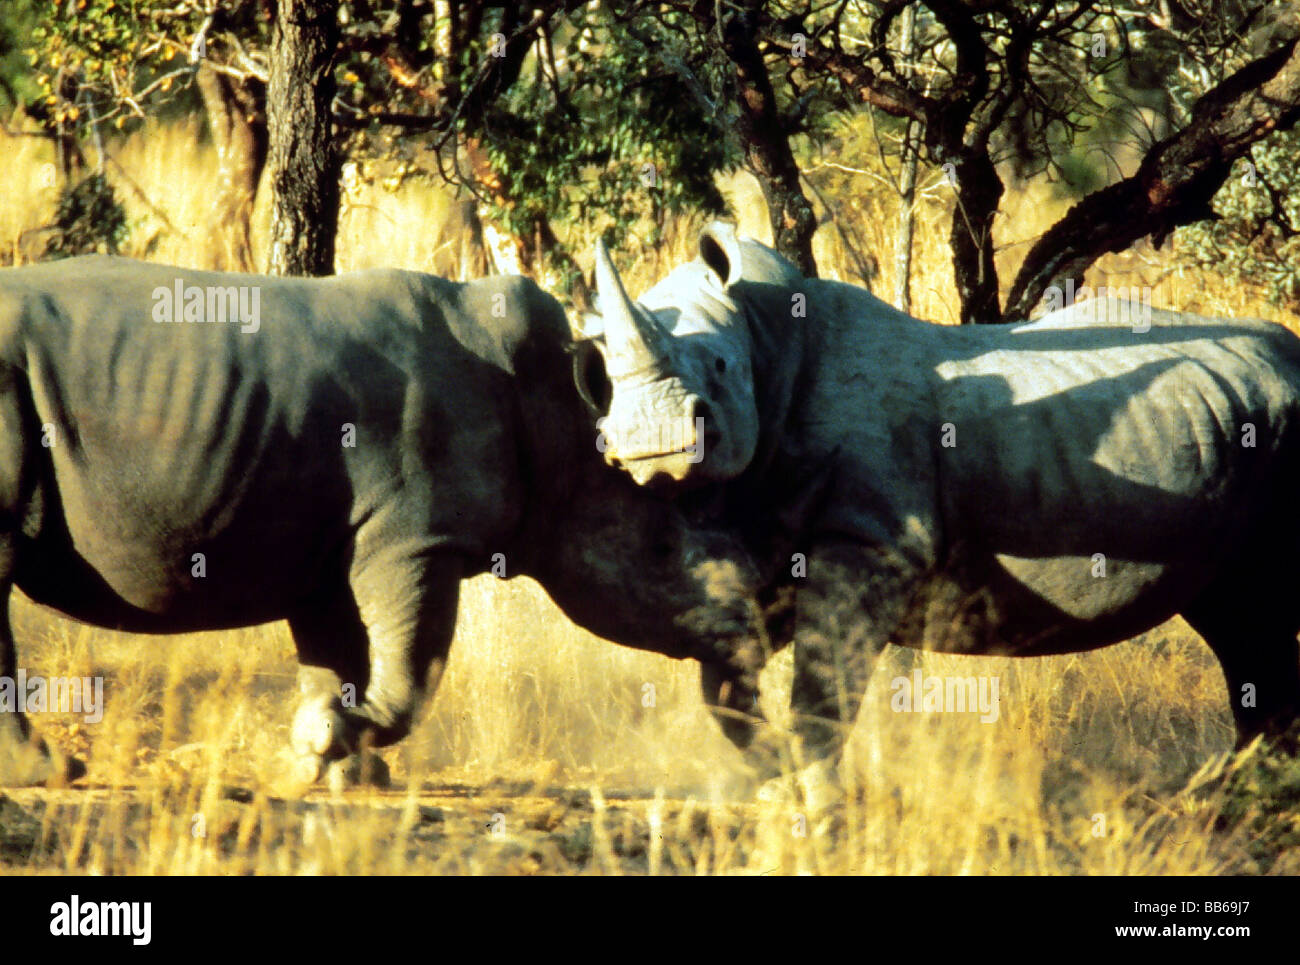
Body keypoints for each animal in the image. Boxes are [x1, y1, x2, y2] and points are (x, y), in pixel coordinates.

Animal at [0, 255, 766, 788]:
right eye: (663, 547)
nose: (756, 633)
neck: (560, 419)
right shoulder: (415, 538)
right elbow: (414, 663)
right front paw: (328, 744)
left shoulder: (330, 540)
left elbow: (335, 653)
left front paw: (335, 761)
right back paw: (50, 774)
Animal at [584, 223, 1300, 789]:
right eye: (603, 383)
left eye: (720, 366)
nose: (654, 443)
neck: (766, 342)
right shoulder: (753, 533)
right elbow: (727, 685)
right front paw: (776, 780)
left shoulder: (874, 539)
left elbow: (822, 685)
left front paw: (818, 803)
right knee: (1236, 610)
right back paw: (1241, 791)